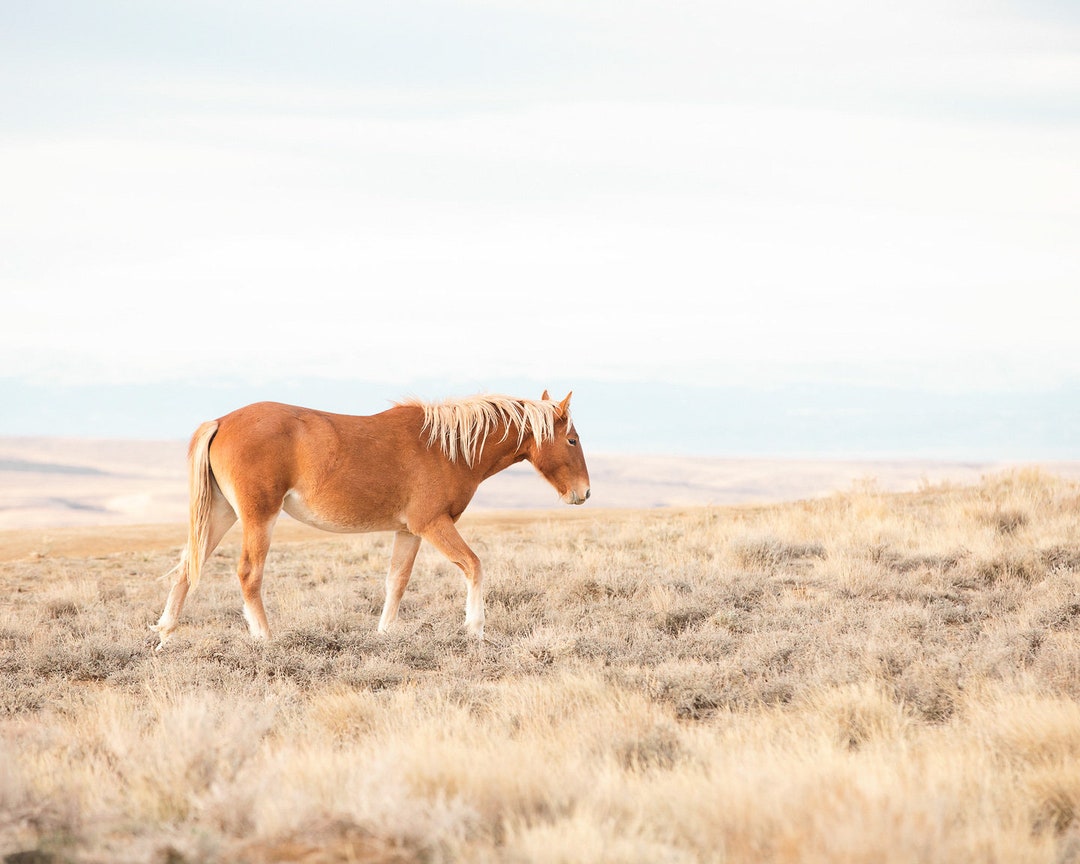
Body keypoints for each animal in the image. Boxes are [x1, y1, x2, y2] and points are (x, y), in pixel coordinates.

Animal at [151, 391, 590, 649]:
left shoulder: (409, 531)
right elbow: (473, 565)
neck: (448, 446)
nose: (583, 493)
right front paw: (474, 628)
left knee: (187, 567)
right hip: (259, 516)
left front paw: (384, 633)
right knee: (248, 573)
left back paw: (165, 636)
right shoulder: (433, 524)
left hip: (220, 514)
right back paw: (265, 639)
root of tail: (221, 420)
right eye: (571, 439)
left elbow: (396, 581)